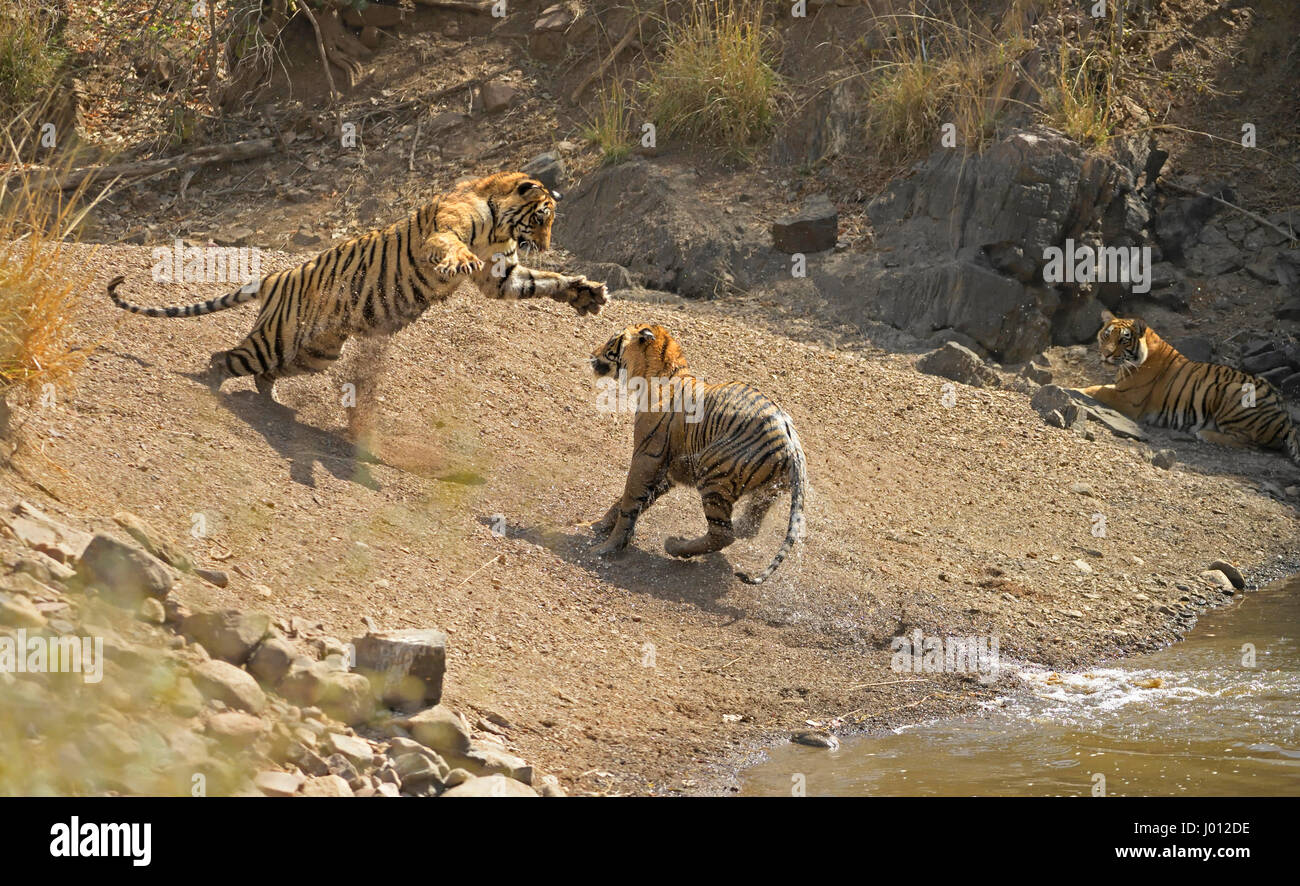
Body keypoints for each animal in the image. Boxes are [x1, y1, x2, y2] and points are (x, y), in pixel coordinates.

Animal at [106, 171, 608, 410]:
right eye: (542, 218)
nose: (547, 245)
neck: (498, 225)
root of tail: (276, 277)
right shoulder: (446, 232)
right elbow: (451, 247)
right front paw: (459, 259)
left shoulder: (502, 275)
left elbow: (543, 284)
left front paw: (586, 294)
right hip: (276, 340)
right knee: (223, 359)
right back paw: (216, 387)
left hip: (314, 352)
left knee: (264, 373)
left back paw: (271, 402)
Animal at [587, 324, 807, 585]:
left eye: (612, 341)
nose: (591, 354)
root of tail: (791, 447)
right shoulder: (668, 468)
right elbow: (636, 500)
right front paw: (598, 524)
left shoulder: (647, 456)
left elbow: (630, 500)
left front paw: (606, 547)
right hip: (768, 490)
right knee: (747, 528)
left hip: (714, 475)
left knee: (724, 534)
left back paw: (675, 546)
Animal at [1074, 311, 1300, 466]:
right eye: (1106, 336)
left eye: (1123, 340)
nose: (1106, 354)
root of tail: (1285, 415)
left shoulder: (1128, 399)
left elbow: (1096, 389)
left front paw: (1075, 388)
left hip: (1233, 392)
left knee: (1248, 441)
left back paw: (1205, 434)